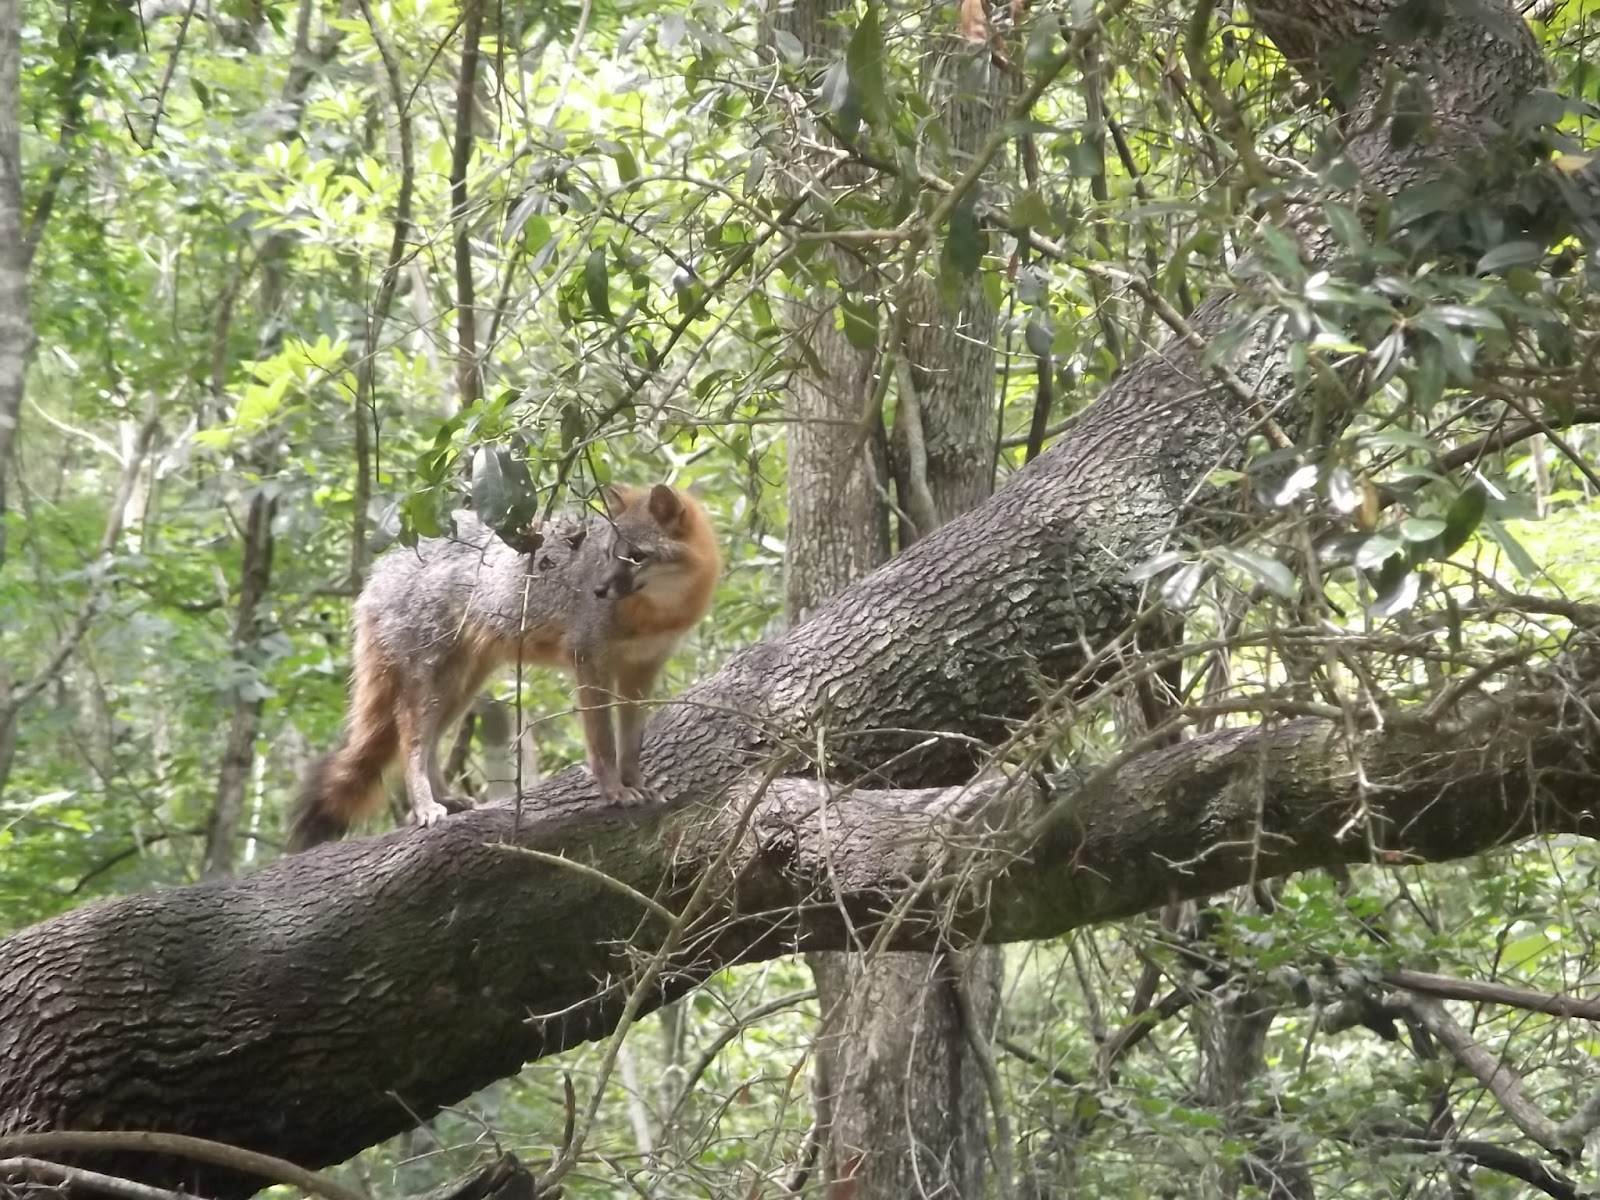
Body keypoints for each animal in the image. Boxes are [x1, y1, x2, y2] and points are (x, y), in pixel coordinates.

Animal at [287, 483, 720, 850]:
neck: (658, 614)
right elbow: (602, 743)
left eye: (636, 556)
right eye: (608, 554)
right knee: (410, 739)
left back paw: (445, 798)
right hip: (431, 680)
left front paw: (637, 784)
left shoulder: (641, 670)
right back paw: (425, 806)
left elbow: (631, 743)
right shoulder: (588, 660)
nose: (598, 590)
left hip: (460, 687)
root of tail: (381, 571)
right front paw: (614, 791)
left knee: (428, 740)